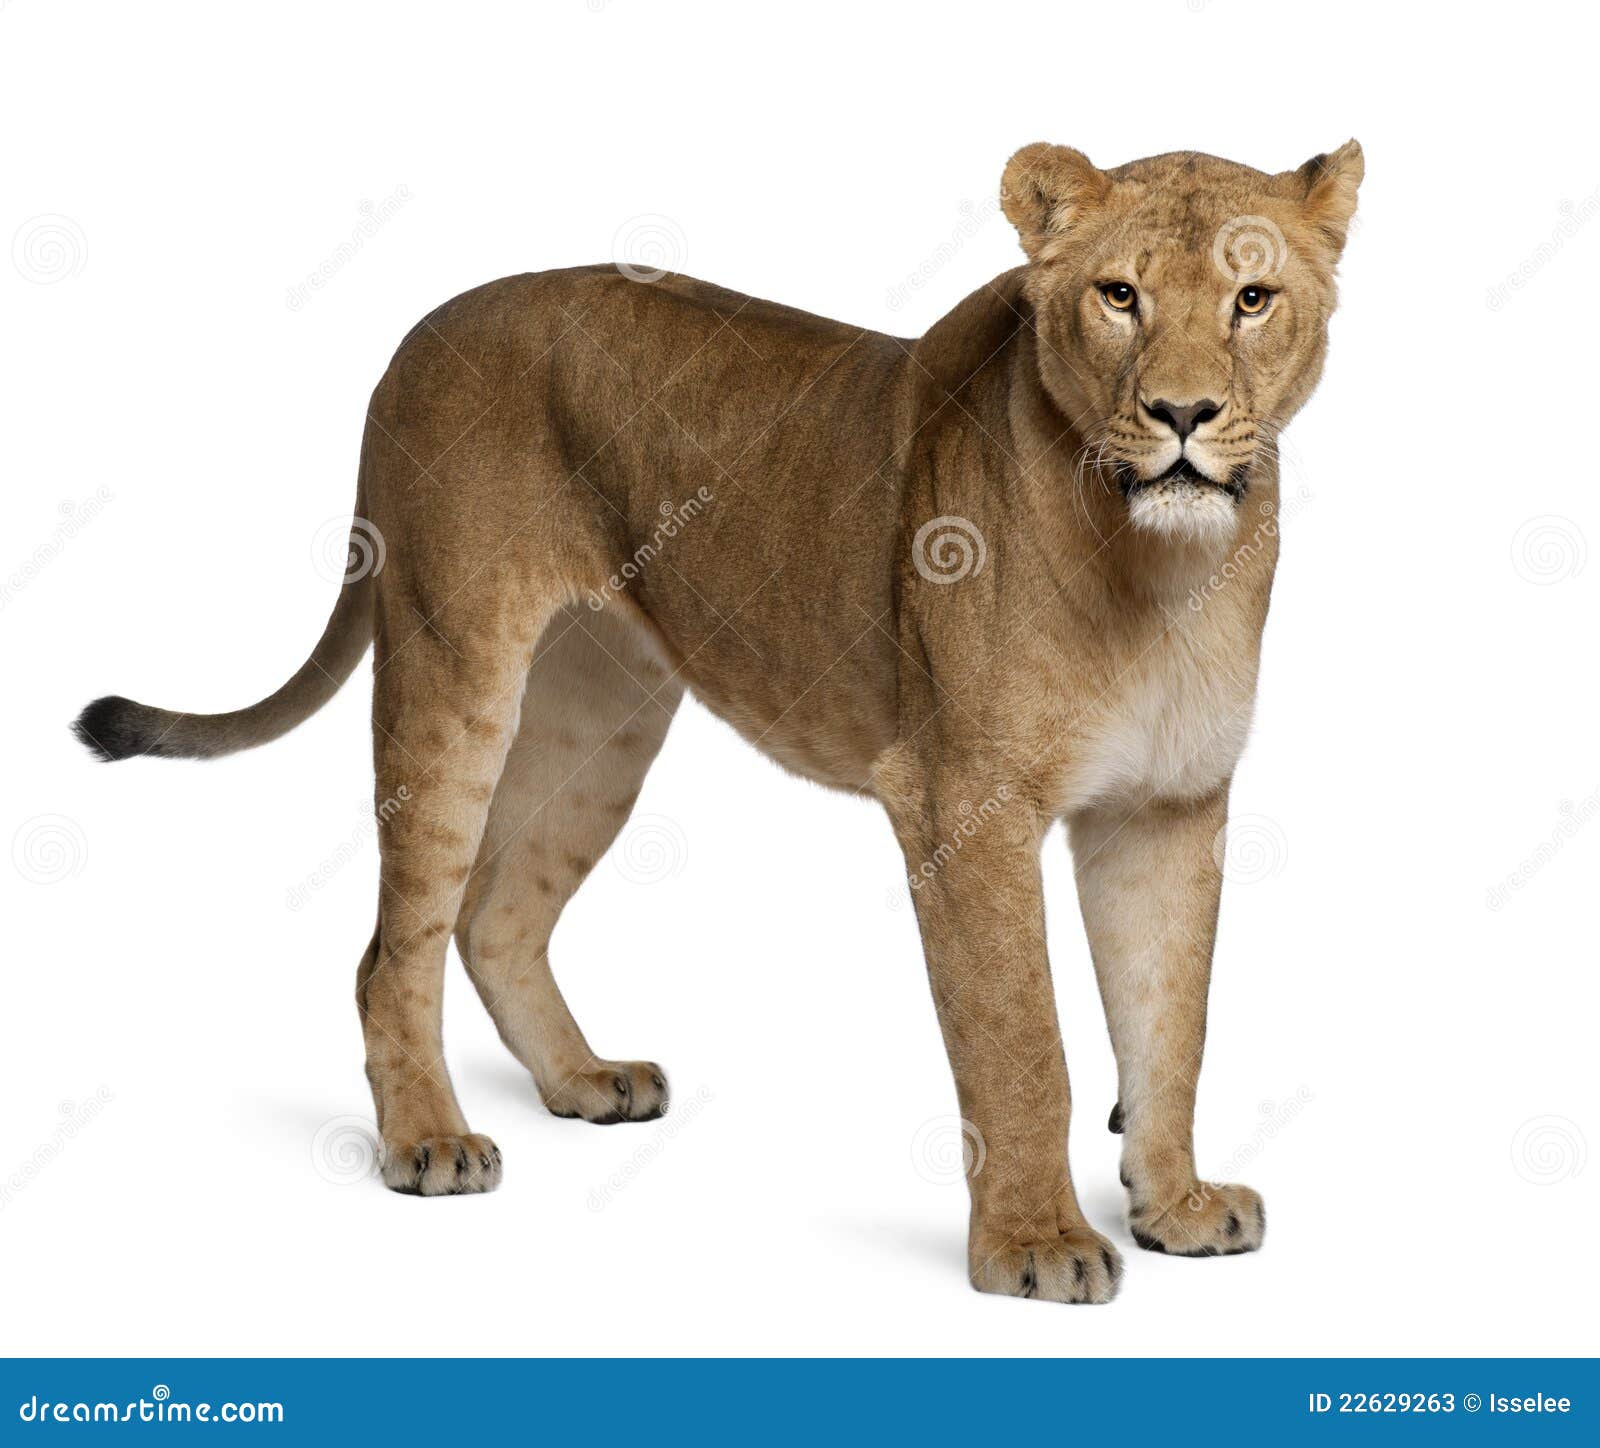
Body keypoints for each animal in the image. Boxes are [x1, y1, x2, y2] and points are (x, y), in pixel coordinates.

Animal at [74, 140, 1362, 1303]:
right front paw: (1035, 1244)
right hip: (454, 667)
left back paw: (585, 1078)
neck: (1166, 575)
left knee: (494, 912)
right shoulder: (963, 805)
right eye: (1118, 295)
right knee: (396, 941)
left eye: (1252, 298)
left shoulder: (1167, 806)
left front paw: (1176, 1205)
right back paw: (427, 1140)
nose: (1183, 411)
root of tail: (423, 327)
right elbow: (1020, 1039)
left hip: (603, 711)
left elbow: (1171, 1021)